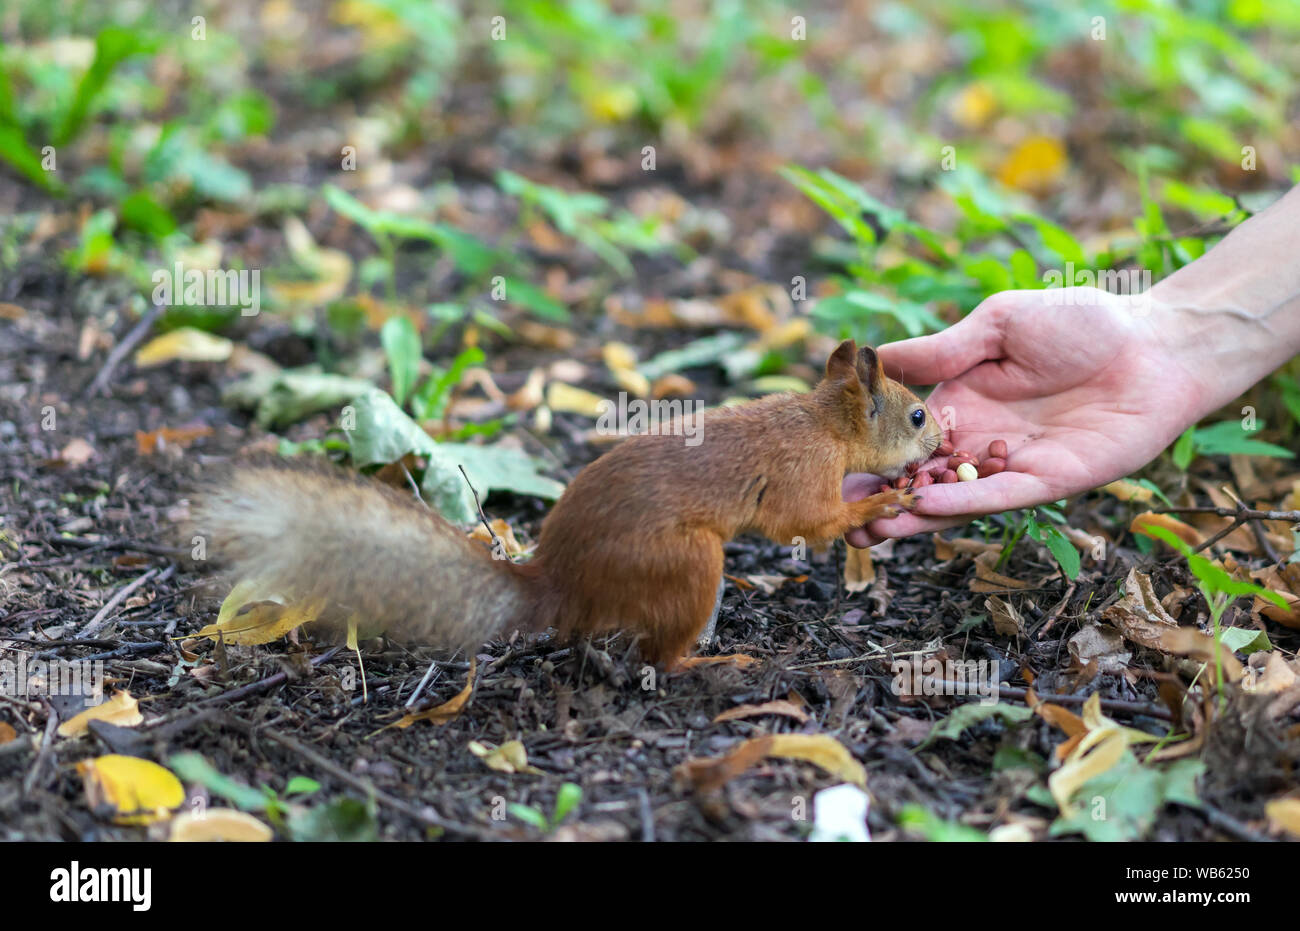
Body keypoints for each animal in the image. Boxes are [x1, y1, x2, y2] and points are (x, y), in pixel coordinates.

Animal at [193, 339, 942, 667]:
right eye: (916, 415)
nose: (942, 439)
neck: (824, 424)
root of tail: (560, 582)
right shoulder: (800, 474)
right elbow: (806, 522)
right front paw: (877, 503)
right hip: (687, 561)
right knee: (658, 661)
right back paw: (713, 663)